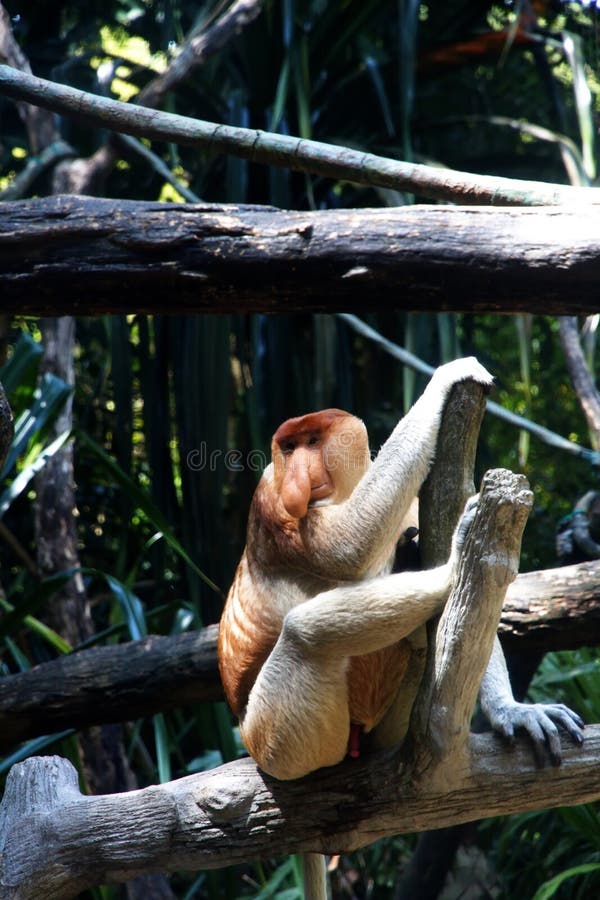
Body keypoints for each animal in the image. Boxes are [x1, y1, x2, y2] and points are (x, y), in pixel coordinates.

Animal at [218, 358, 584, 783]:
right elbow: (348, 543)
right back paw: (458, 560)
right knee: (304, 633)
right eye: (288, 448)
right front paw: (446, 376)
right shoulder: (272, 500)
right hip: (275, 744)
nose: (296, 479)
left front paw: (512, 710)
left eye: (311, 442)